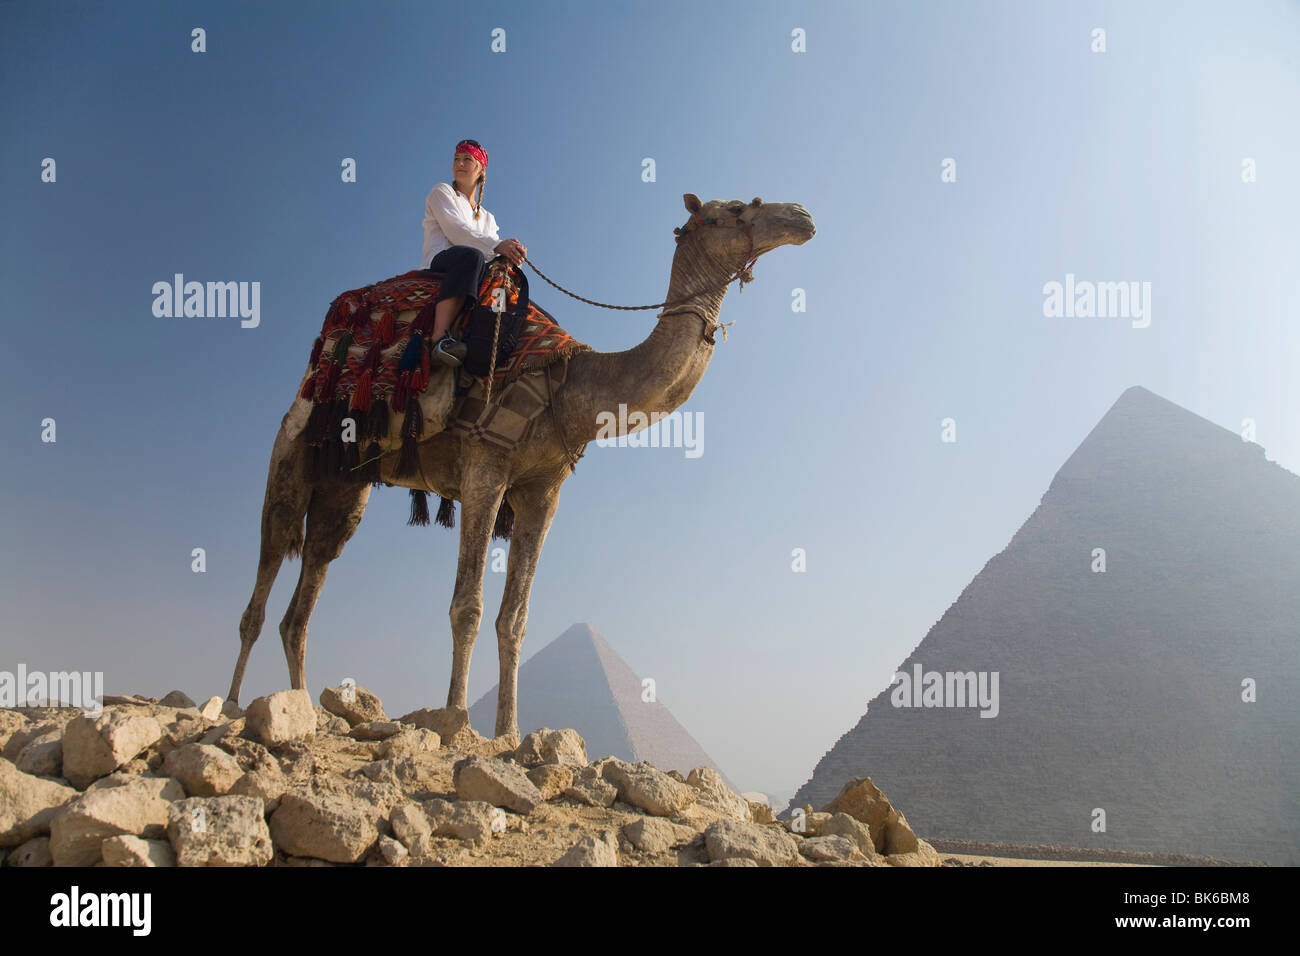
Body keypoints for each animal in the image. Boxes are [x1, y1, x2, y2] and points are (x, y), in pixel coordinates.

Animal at [227, 193, 815, 738]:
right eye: (732, 209)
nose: (802, 216)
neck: (573, 388)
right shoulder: (485, 468)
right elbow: (467, 605)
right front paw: (456, 719)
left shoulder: (542, 491)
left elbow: (515, 619)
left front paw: (508, 733)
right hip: (291, 455)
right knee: (264, 580)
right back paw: (234, 705)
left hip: (346, 488)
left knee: (305, 595)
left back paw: (303, 706)